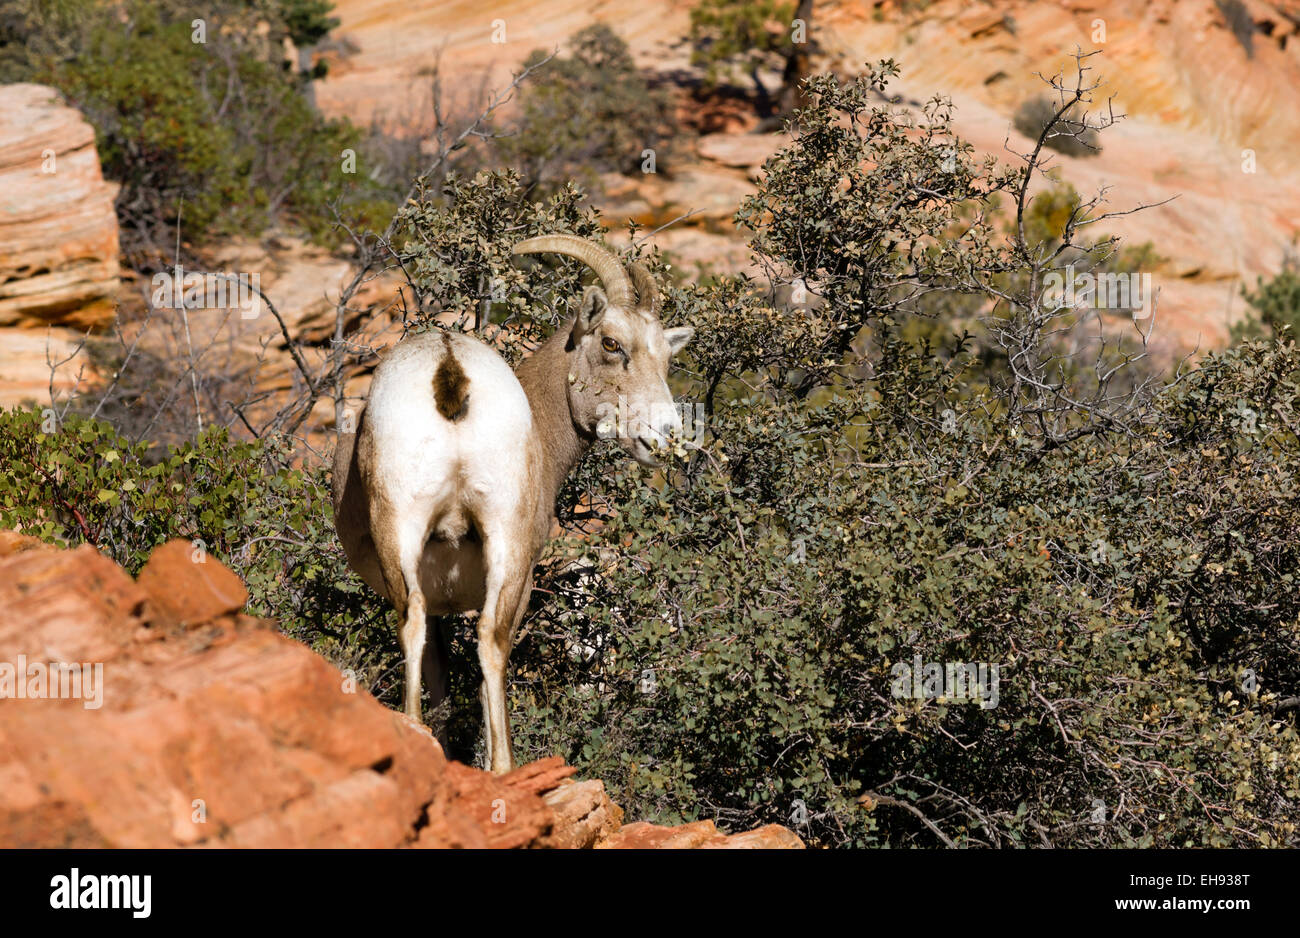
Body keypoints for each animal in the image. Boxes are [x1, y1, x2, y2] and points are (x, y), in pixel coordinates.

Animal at [331, 234, 693, 773]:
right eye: (611, 343)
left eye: (666, 358)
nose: (666, 438)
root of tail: (449, 367)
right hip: (505, 545)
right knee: (487, 638)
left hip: (418, 534)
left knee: (429, 627)